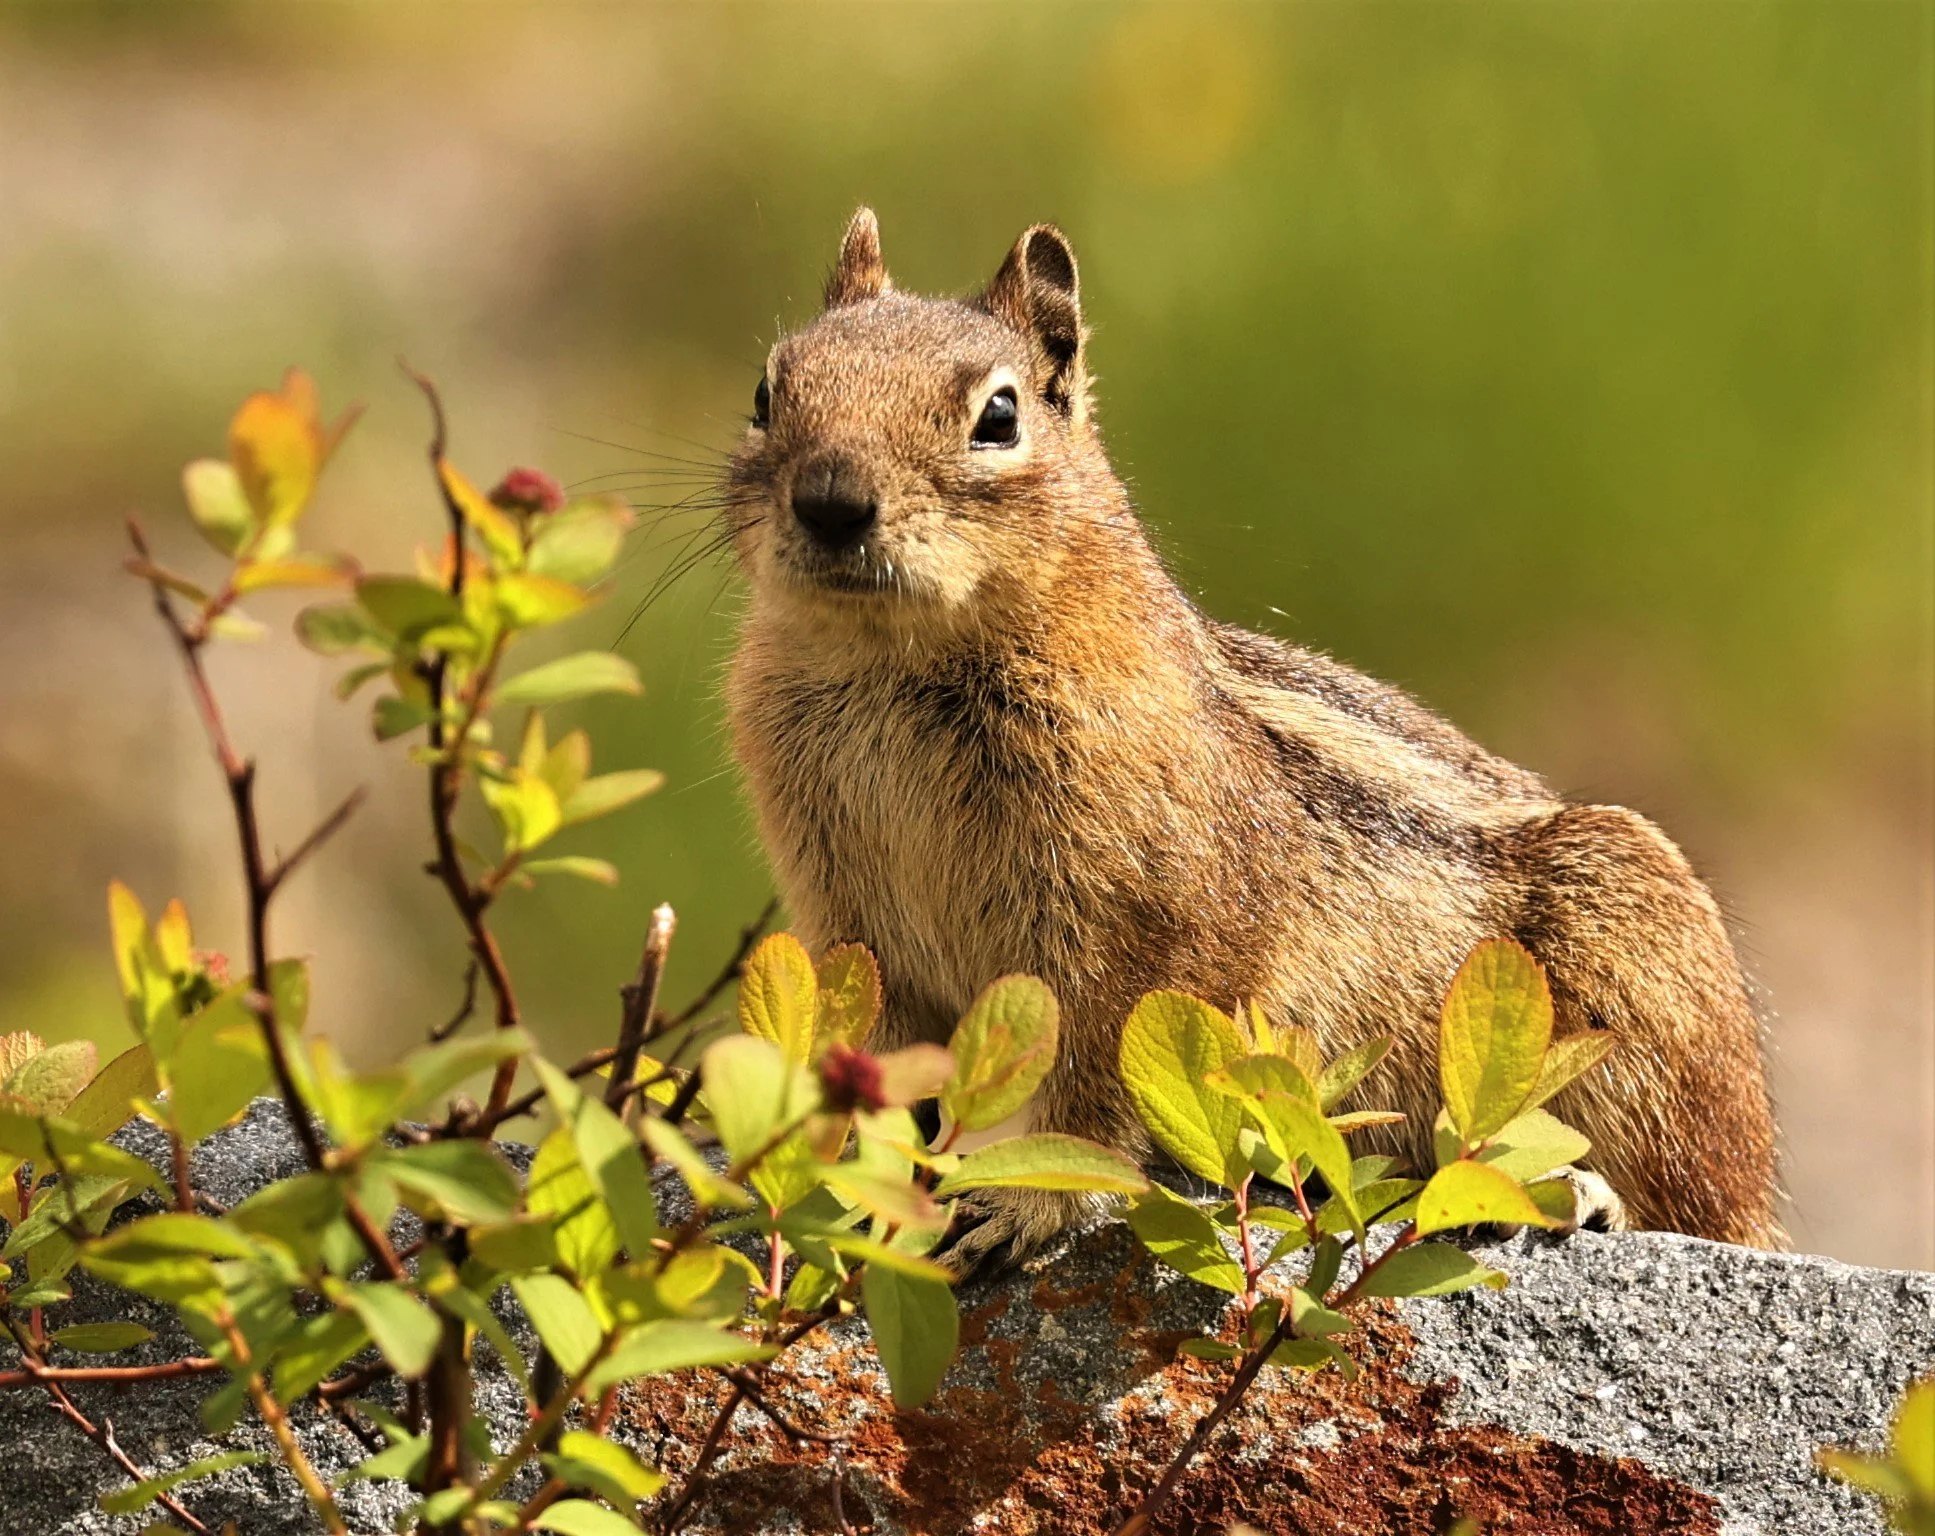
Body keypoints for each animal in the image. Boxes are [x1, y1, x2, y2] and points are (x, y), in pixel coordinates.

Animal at [723, 208, 1782, 1269]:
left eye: (998, 417)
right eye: (767, 392)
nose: (829, 499)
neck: (893, 665)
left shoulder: (1143, 930)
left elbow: (1098, 1086)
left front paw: (1022, 1208)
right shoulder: (846, 917)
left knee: (1700, 1207)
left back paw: (1578, 1193)